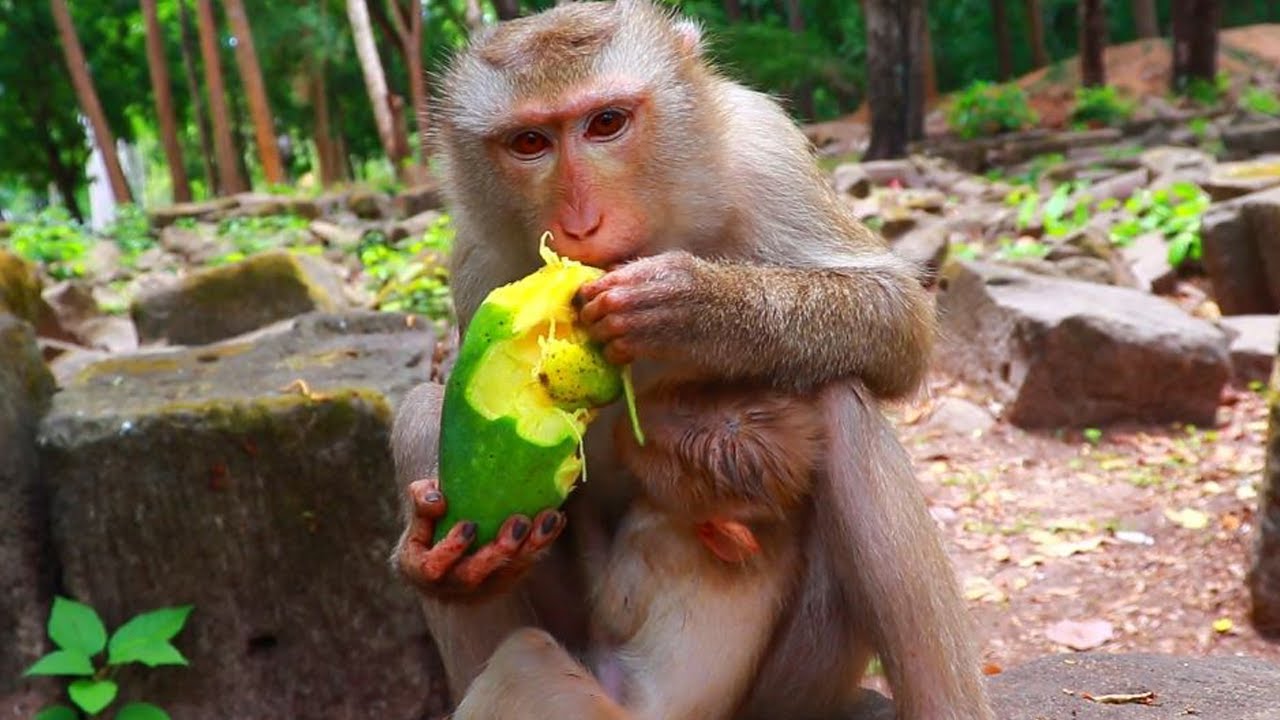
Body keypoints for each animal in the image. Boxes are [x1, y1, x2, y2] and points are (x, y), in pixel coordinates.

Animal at [391, 2, 994, 719]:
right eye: (530, 142)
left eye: (607, 123)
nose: (583, 223)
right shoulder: (472, 261)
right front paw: (441, 559)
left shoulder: (766, 153)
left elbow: (897, 316)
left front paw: (691, 306)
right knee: (422, 410)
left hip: (791, 689)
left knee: (842, 399)